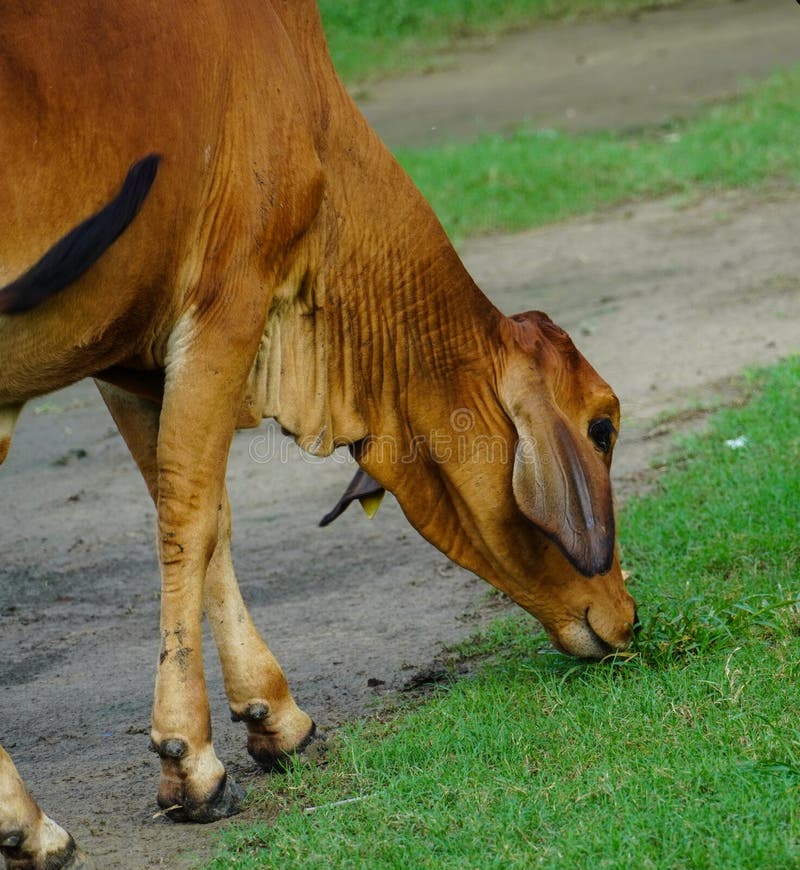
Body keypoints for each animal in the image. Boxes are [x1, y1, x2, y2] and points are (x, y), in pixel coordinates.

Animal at [0, 1, 638, 866]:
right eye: (601, 428)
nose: (628, 616)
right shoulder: (227, 303)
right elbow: (190, 521)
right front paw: (192, 762)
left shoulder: (129, 359)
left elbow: (207, 519)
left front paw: (274, 715)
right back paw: (26, 817)